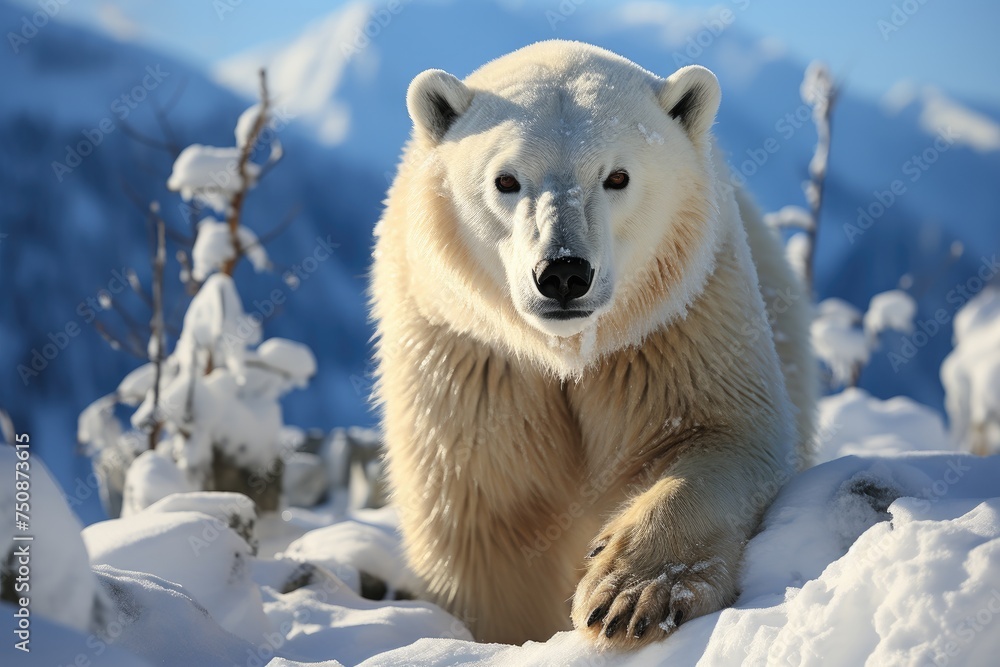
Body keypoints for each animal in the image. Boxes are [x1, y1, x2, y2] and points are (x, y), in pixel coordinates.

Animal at [371, 40, 816, 650]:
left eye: (617, 176)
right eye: (505, 180)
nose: (563, 274)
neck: (568, 351)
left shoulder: (674, 327)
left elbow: (723, 434)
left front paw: (629, 595)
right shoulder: (473, 359)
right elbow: (483, 523)